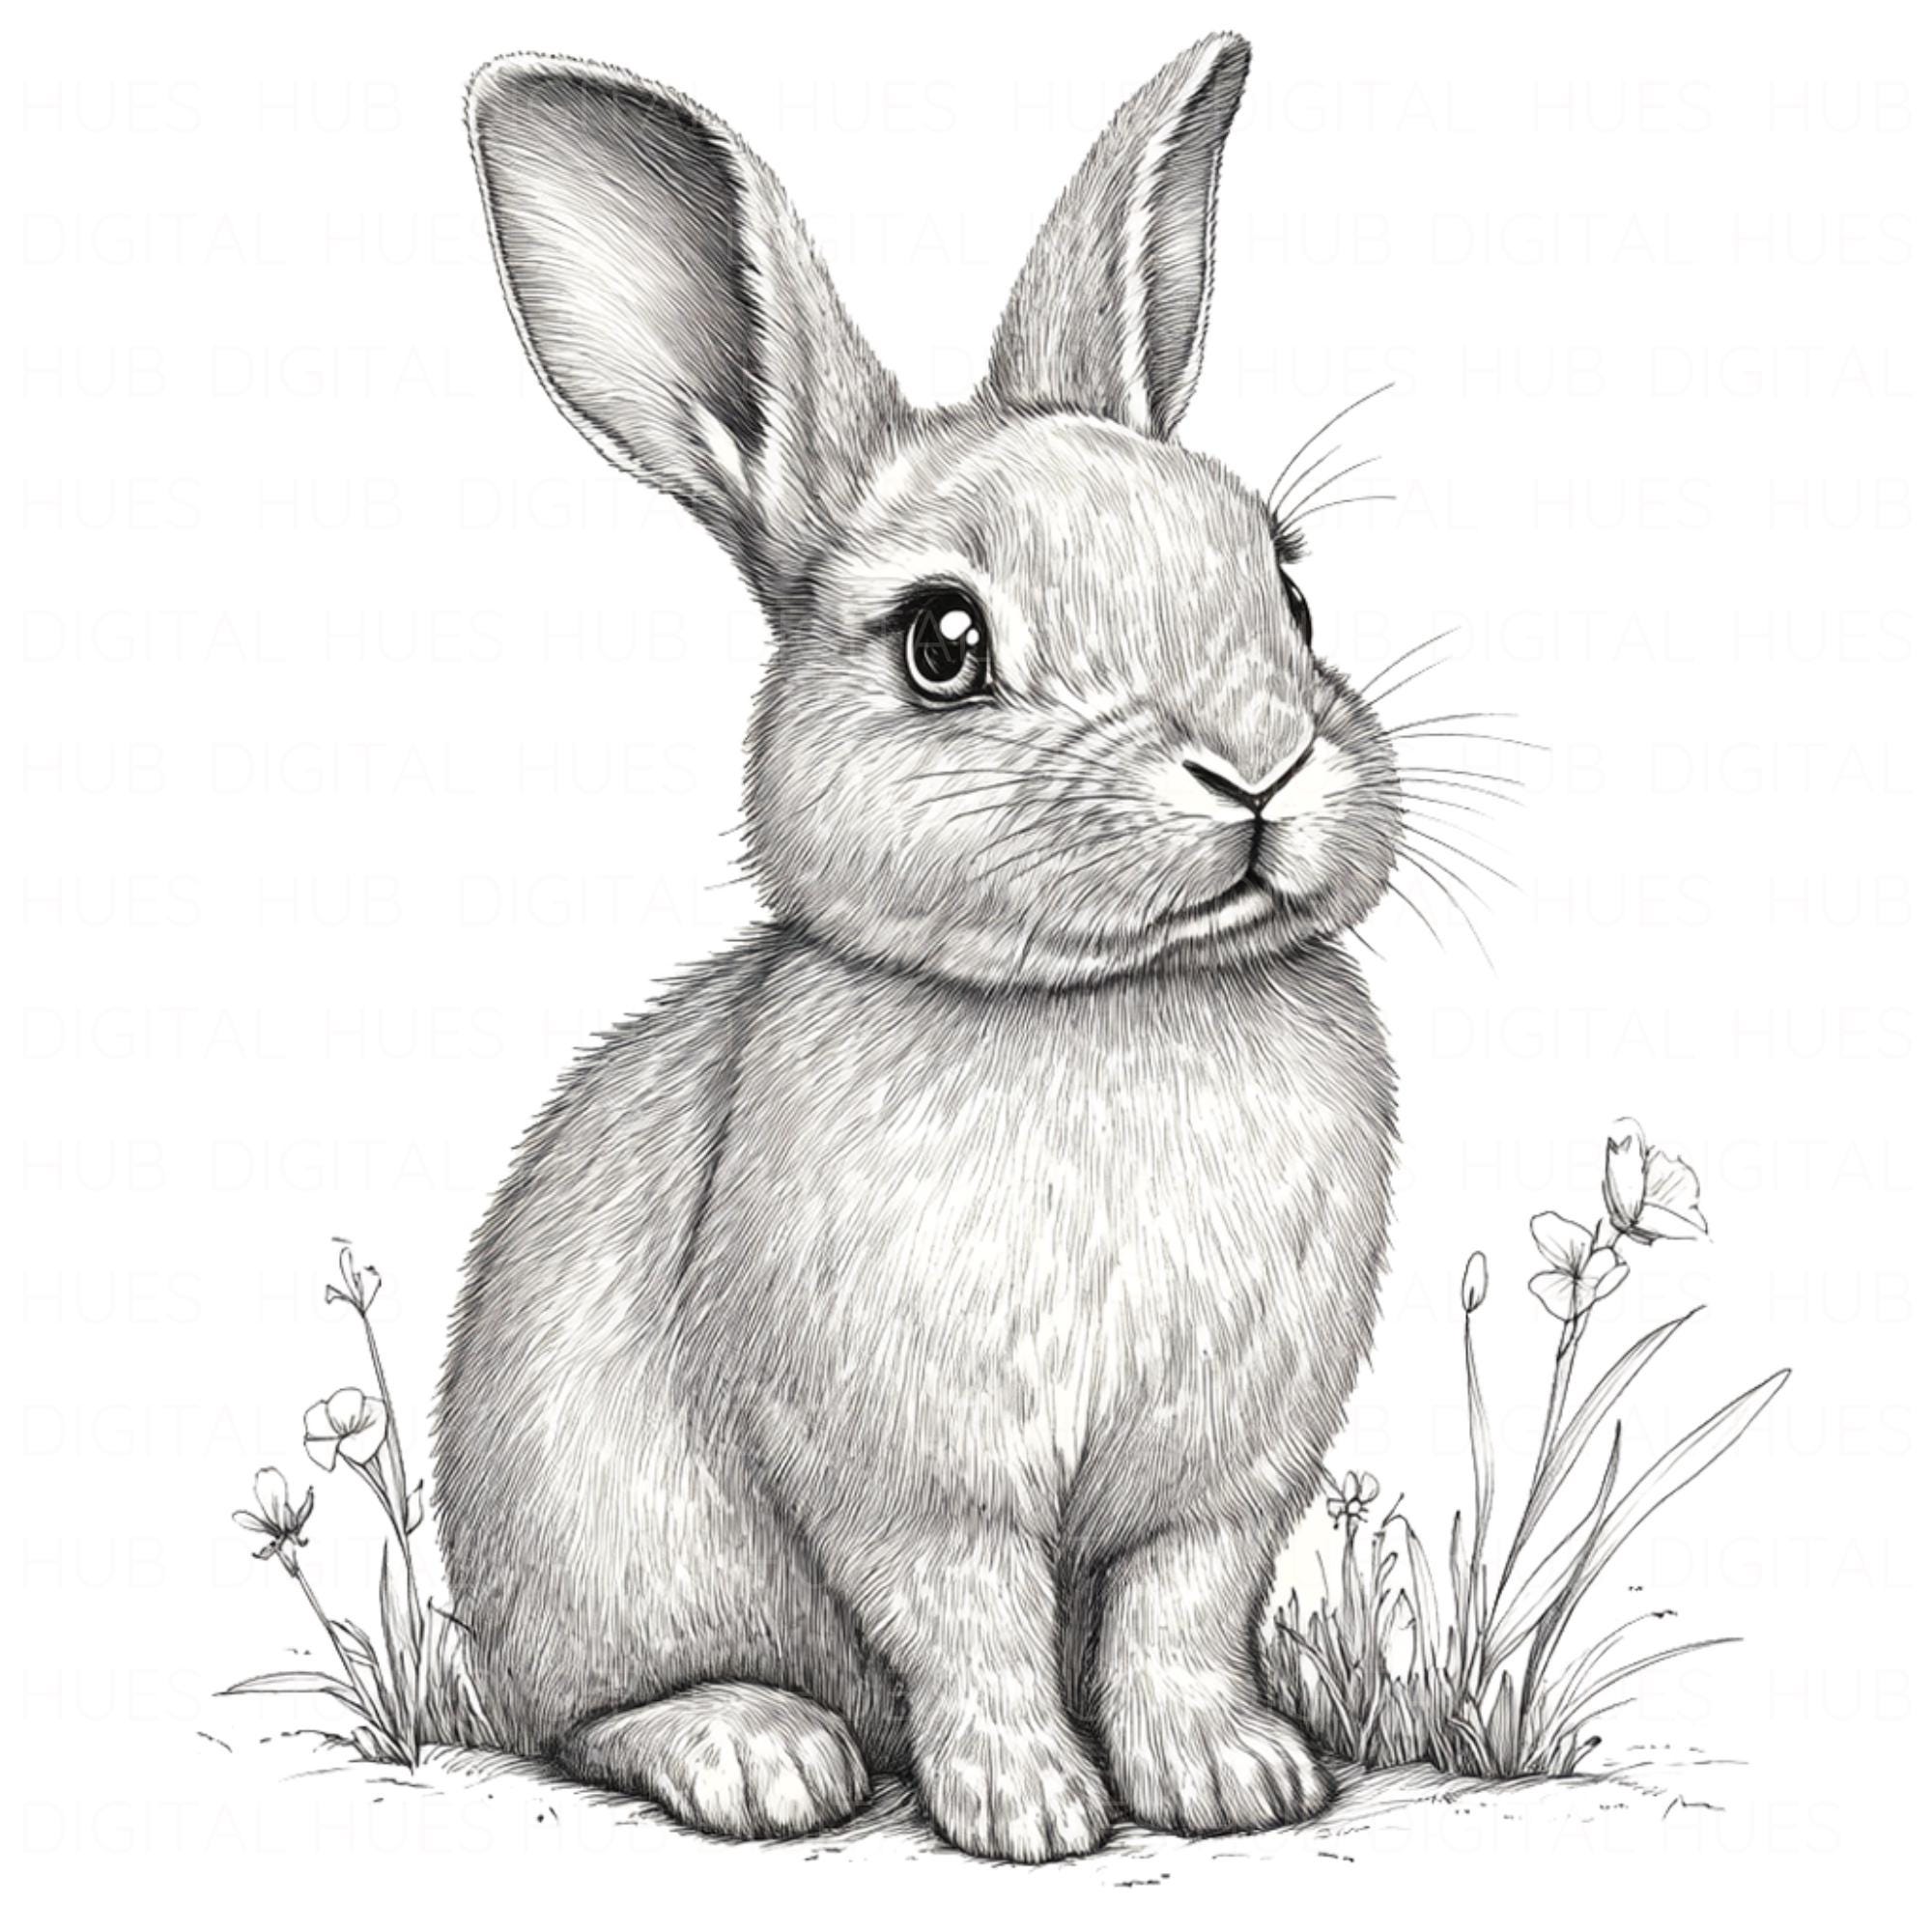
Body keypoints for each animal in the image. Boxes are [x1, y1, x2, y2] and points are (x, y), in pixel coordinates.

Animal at [437, 33, 1401, 1864]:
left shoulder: (1225, 1470)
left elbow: (1181, 1614)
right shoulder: (908, 1474)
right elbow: (975, 1623)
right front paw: (1030, 1809)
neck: (1103, 1005)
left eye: (1292, 591)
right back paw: (756, 1756)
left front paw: (1230, 1782)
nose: (1259, 769)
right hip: (598, 1568)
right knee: (584, 1717)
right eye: (942, 644)